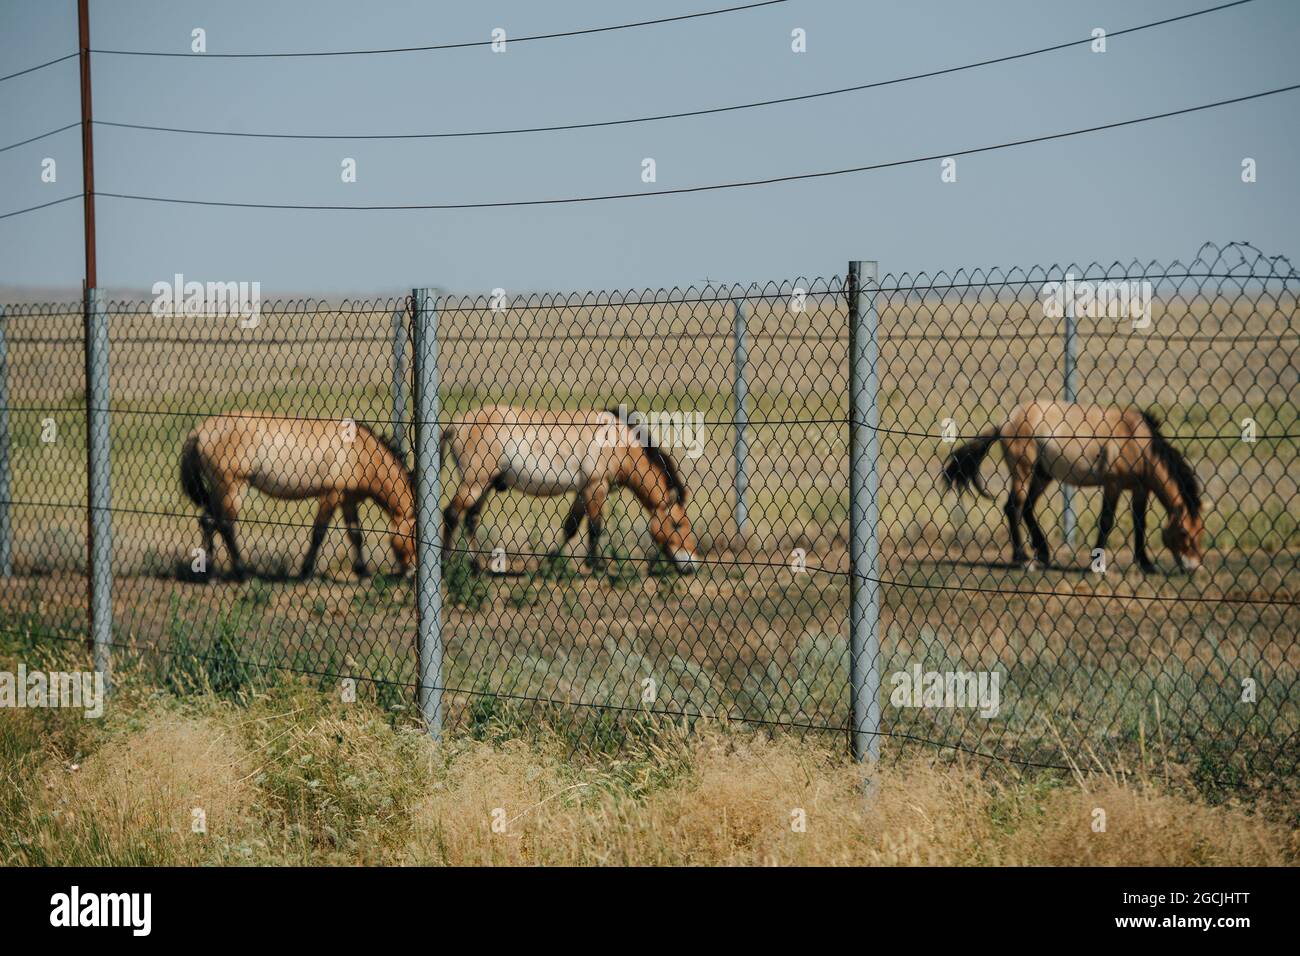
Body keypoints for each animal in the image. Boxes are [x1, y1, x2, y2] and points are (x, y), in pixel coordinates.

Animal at [180, 413, 416, 581]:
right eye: (413, 535)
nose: (412, 572)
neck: (357, 450)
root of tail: (198, 432)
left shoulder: (348, 499)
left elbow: (355, 535)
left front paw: (363, 572)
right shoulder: (331, 495)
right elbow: (318, 533)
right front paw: (305, 571)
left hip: (219, 490)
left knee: (207, 521)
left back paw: (209, 572)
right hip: (232, 488)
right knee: (226, 526)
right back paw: (241, 573)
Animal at [440, 405, 700, 575]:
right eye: (677, 525)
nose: (692, 565)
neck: (617, 441)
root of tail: (456, 424)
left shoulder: (582, 492)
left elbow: (571, 528)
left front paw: (551, 562)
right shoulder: (596, 487)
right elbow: (594, 528)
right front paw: (596, 566)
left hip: (483, 486)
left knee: (470, 519)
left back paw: (476, 567)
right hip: (474, 484)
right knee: (452, 514)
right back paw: (447, 563)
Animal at [941, 400, 1205, 573]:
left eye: (1200, 531)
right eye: (1184, 532)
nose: (1192, 566)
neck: (1136, 441)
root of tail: (1006, 421)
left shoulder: (1140, 489)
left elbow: (1140, 522)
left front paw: (1146, 563)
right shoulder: (1113, 485)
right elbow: (1106, 521)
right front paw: (1098, 564)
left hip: (1042, 475)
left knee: (1027, 508)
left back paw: (1043, 554)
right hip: (1023, 473)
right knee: (1013, 508)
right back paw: (1024, 559)